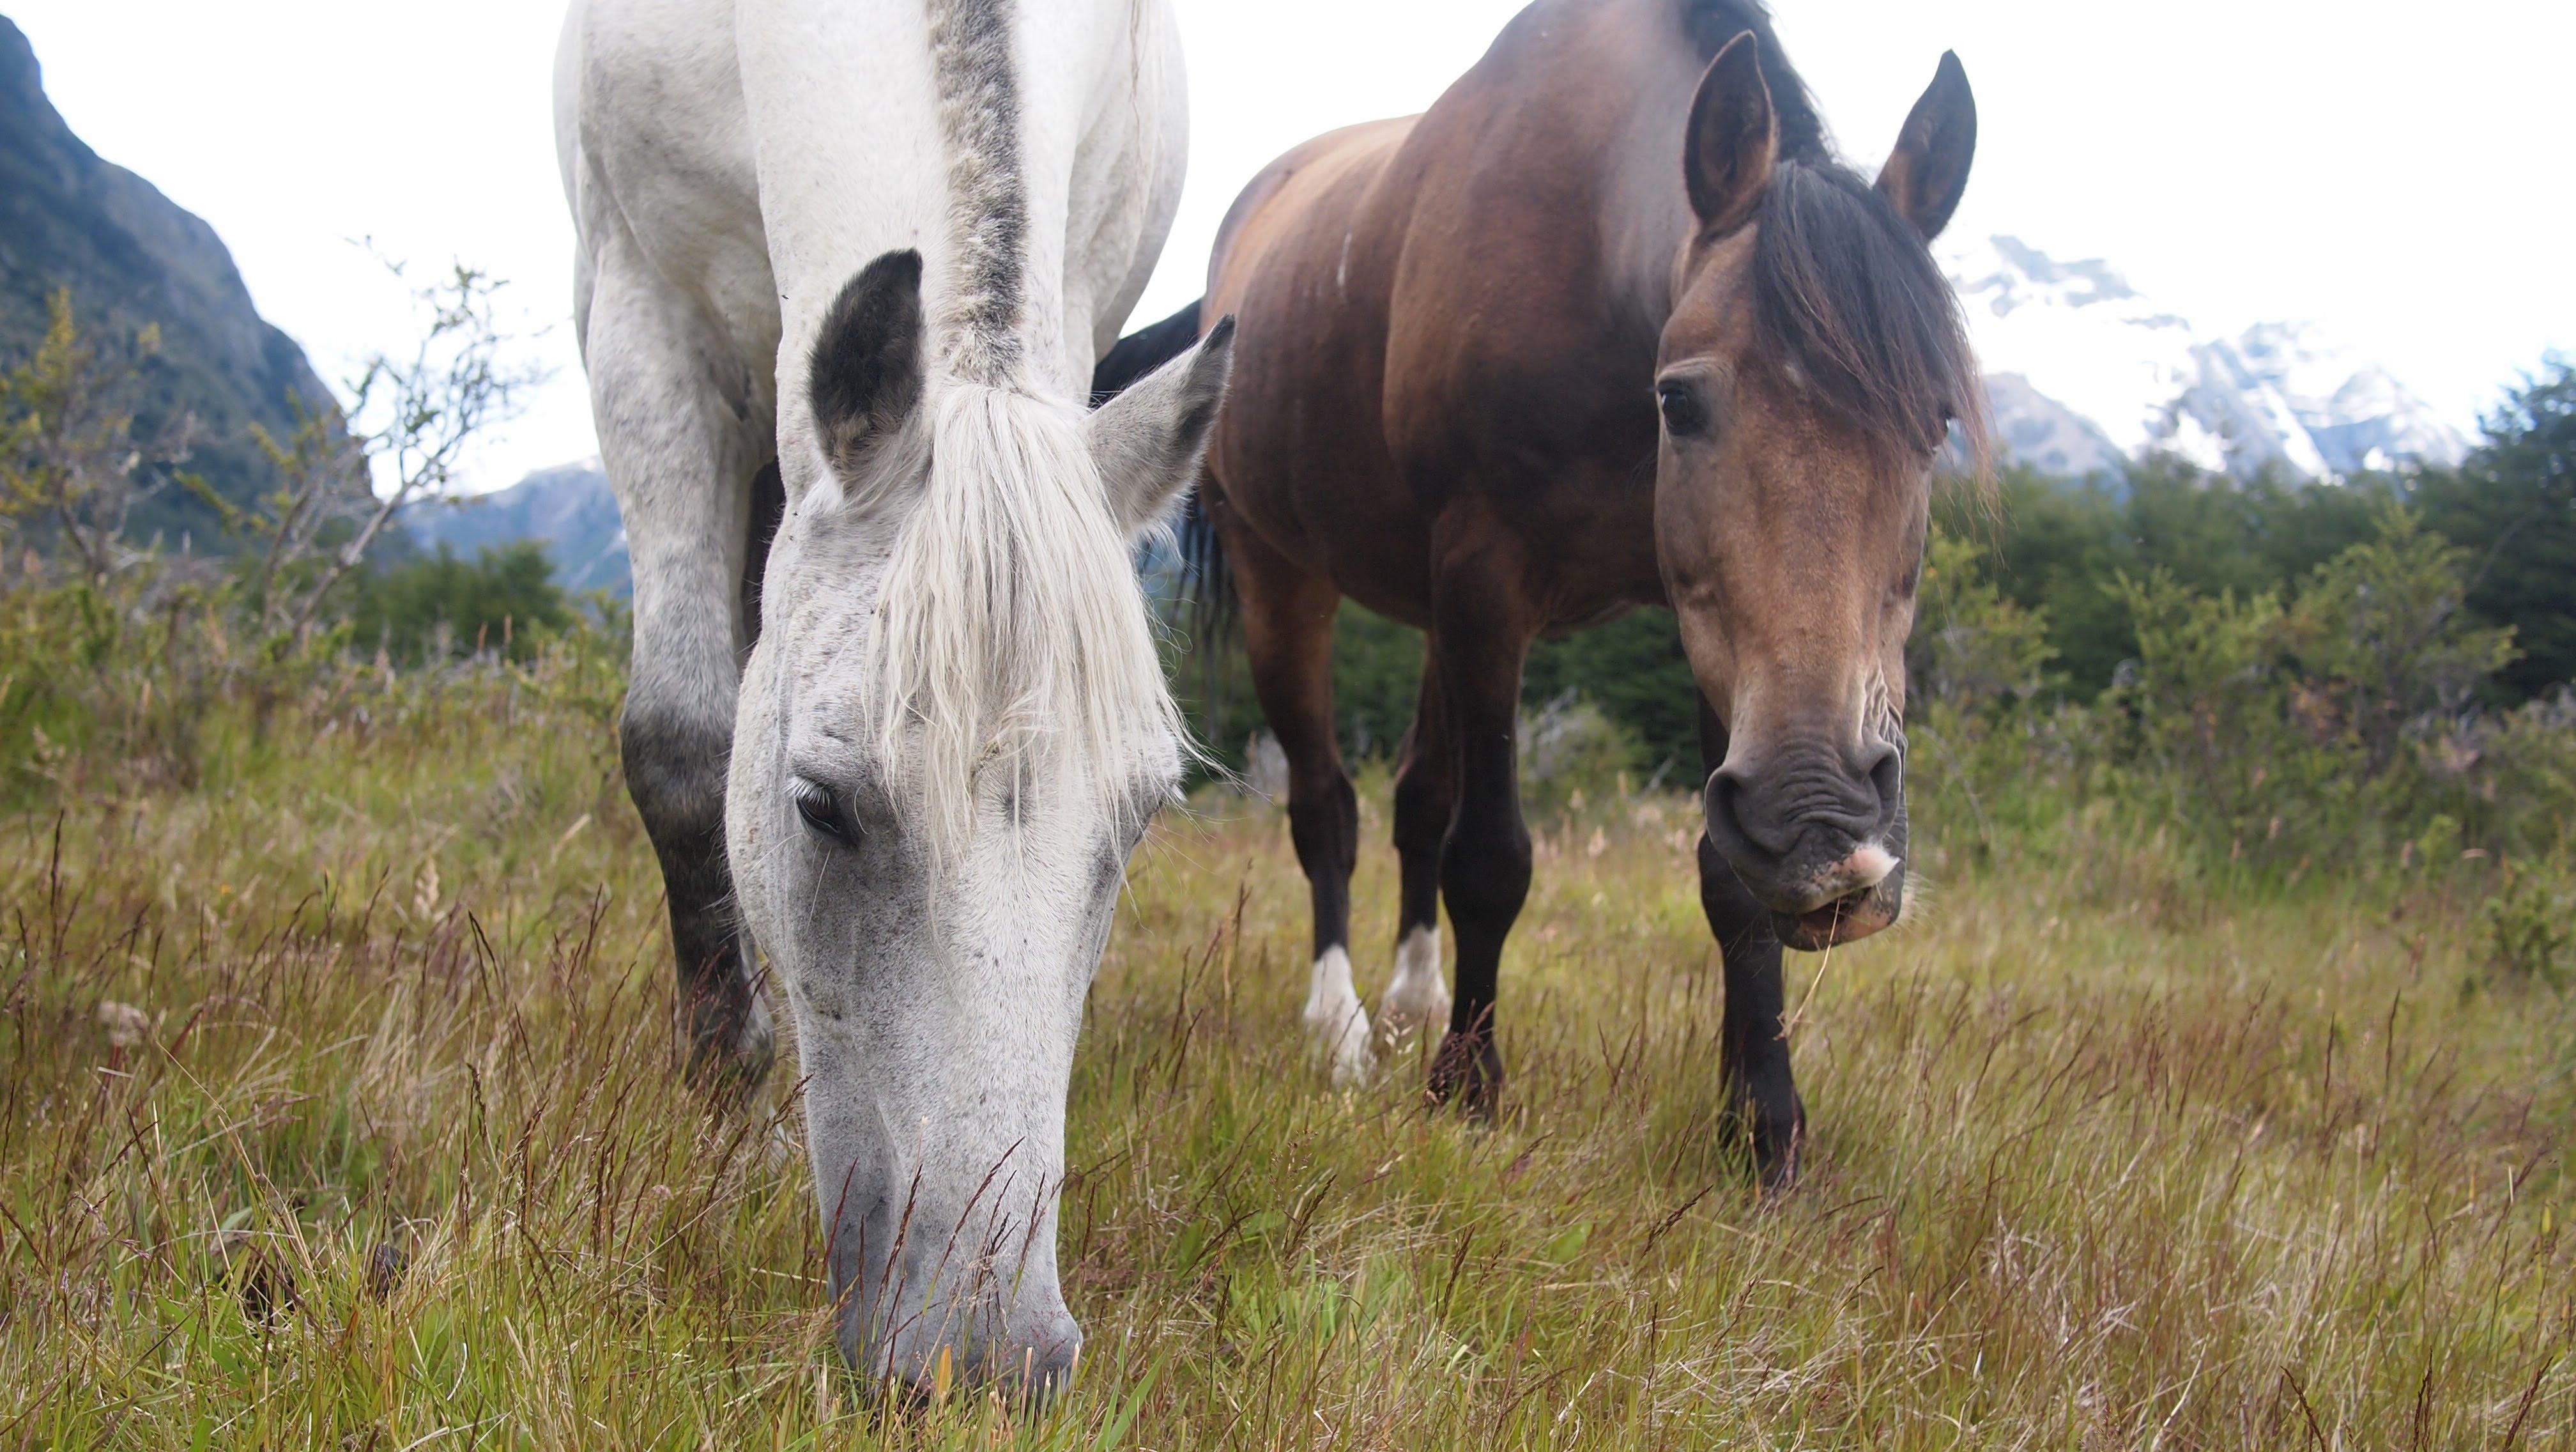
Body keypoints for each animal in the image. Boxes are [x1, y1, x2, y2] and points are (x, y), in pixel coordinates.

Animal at [556, 0, 1232, 1395]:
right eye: (820, 805)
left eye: (1136, 824)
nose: (989, 1363)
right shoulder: (641, 318)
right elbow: (681, 739)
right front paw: (721, 1080)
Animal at [1107, 0, 1980, 1185]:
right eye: (1682, 401)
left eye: (1937, 420)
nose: (1824, 832)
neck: (1591, 259)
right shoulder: (1486, 581)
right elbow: (1490, 856)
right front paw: (1467, 1087)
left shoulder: (1700, 628)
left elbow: (1725, 884)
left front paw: (1762, 1120)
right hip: (1284, 579)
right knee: (1326, 808)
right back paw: (1342, 1029)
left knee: (1414, 798)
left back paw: (1413, 1000)